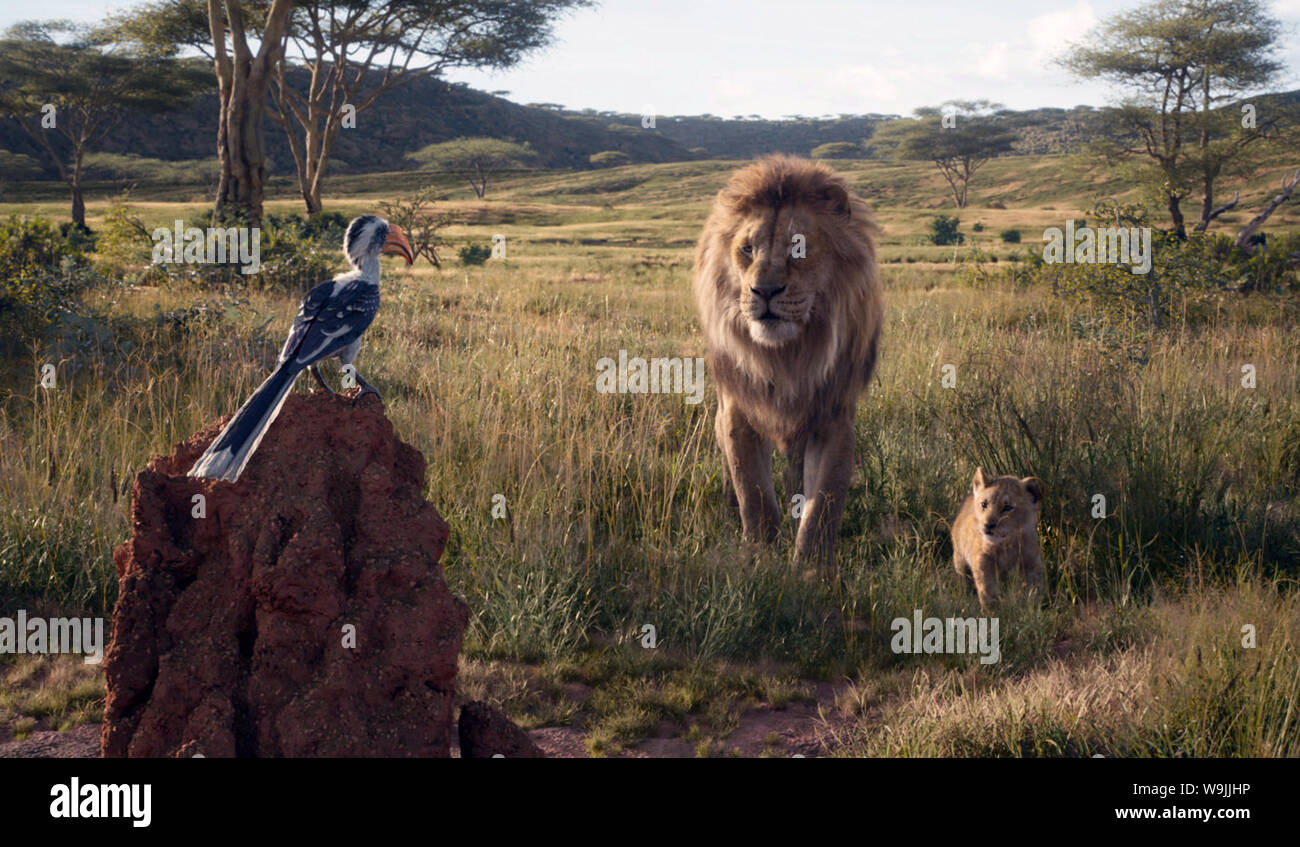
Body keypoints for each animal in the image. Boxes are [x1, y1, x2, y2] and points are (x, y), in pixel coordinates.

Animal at [693, 155, 883, 567]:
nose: (763, 290)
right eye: (748, 249)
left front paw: (811, 570)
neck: (786, 356)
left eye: (799, 248)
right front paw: (760, 558)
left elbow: (823, 505)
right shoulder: (738, 411)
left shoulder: (834, 418)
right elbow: (754, 494)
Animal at [951, 468, 1046, 610]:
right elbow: (987, 589)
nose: (988, 525)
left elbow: (1035, 588)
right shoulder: (983, 560)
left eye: (1008, 507)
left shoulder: (1032, 562)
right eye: (984, 504)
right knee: (963, 578)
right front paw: (991, 611)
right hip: (959, 557)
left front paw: (1035, 607)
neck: (1007, 544)